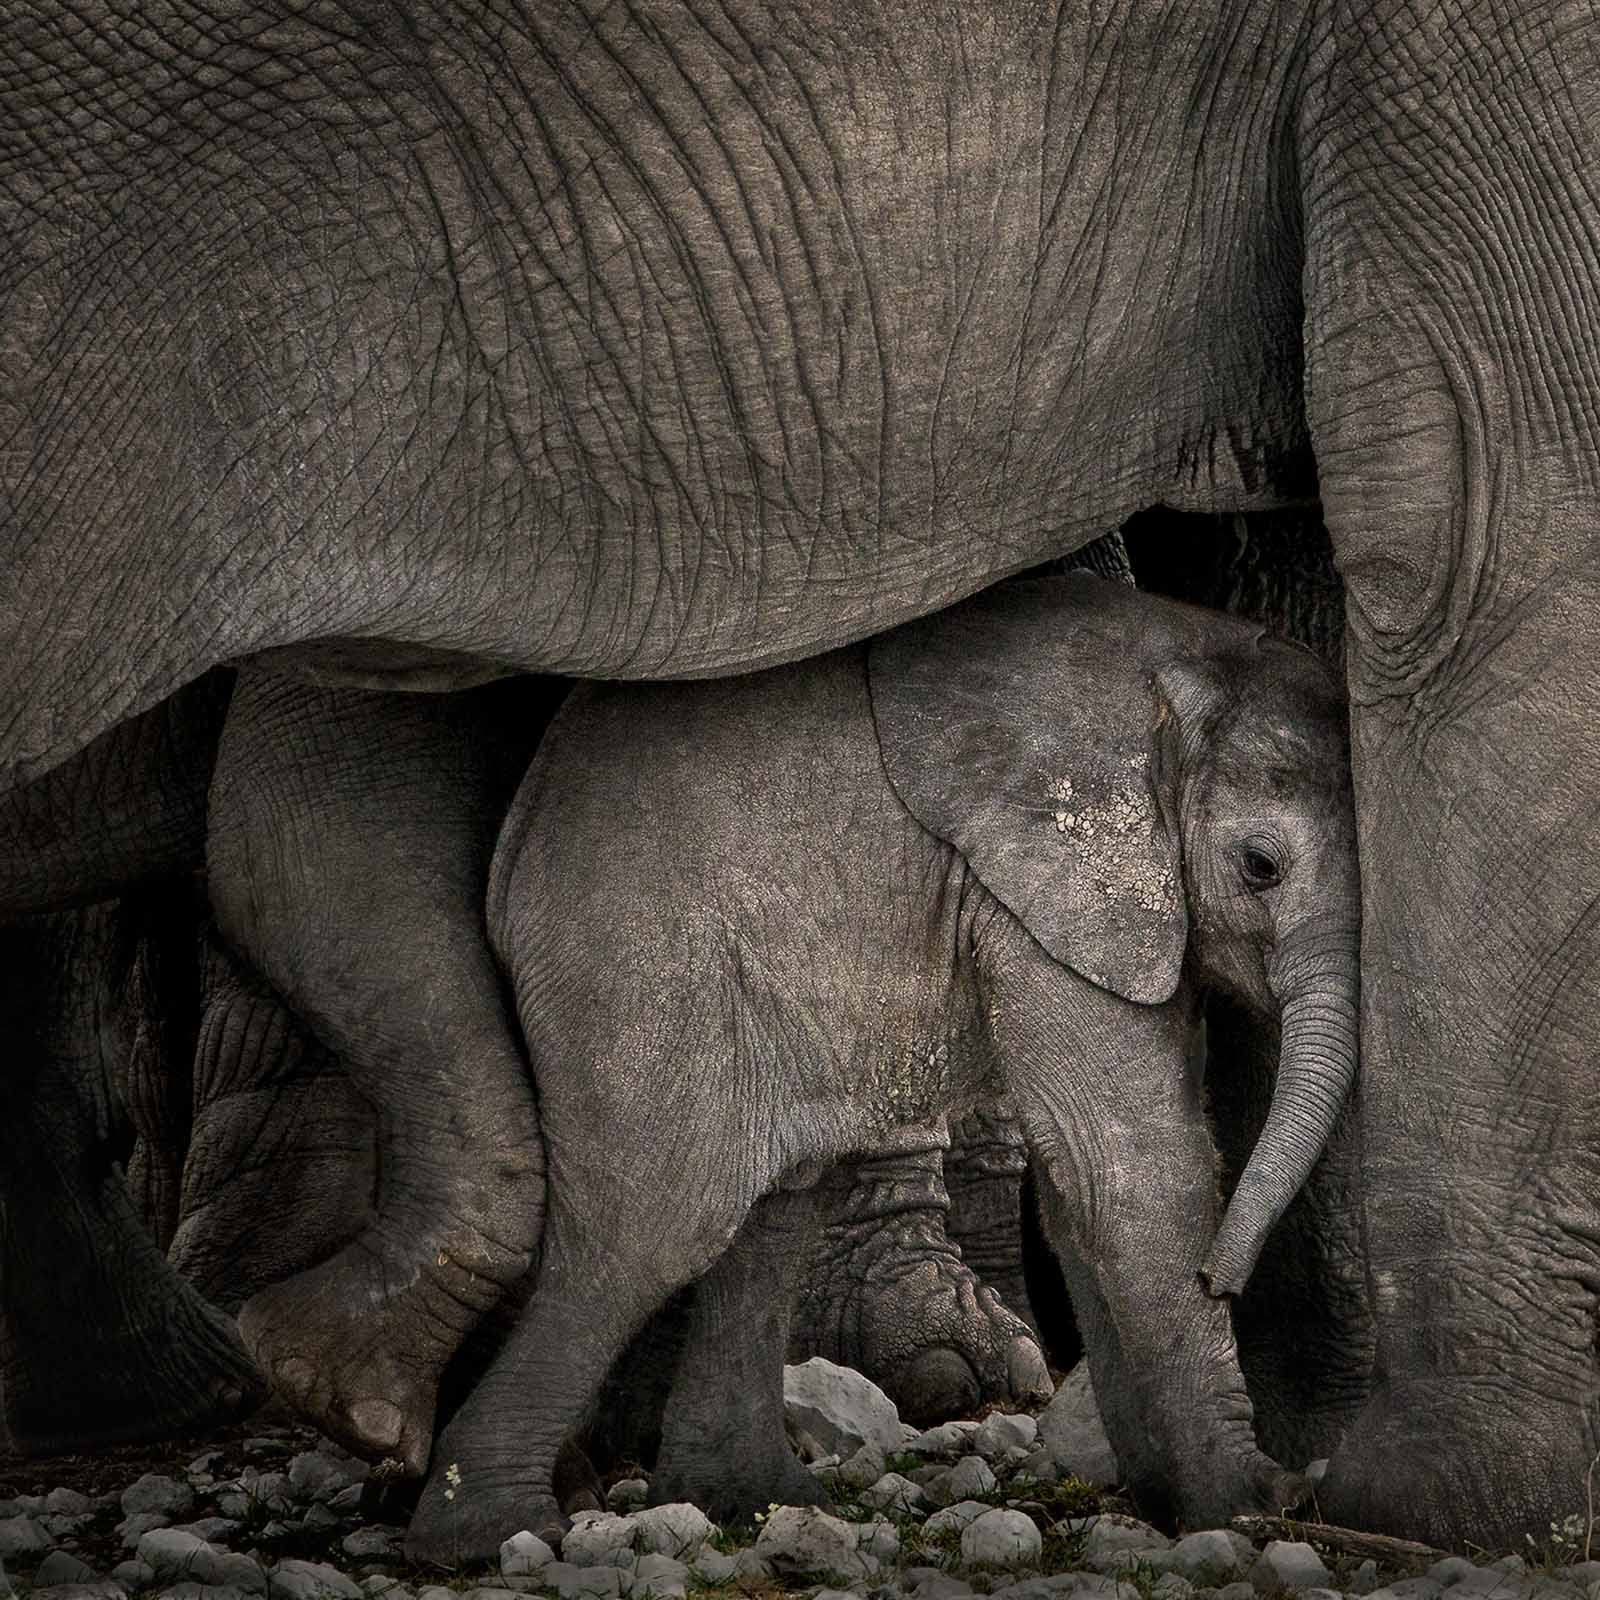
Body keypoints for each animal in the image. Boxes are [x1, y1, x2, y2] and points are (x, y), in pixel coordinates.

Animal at [389, 572, 1361, 1560]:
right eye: (1260, 866)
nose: (1222, 1278)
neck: (1183, 671)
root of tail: (511, 852)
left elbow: (1080, 1185)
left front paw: (1170, 1501)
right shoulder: (1047, 895)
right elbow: (1127, 1170)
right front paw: (1245, 1507)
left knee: (775, 1206)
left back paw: (749, 1498)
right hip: (638, 968)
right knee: (656, 1223)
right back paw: (487, 1530)